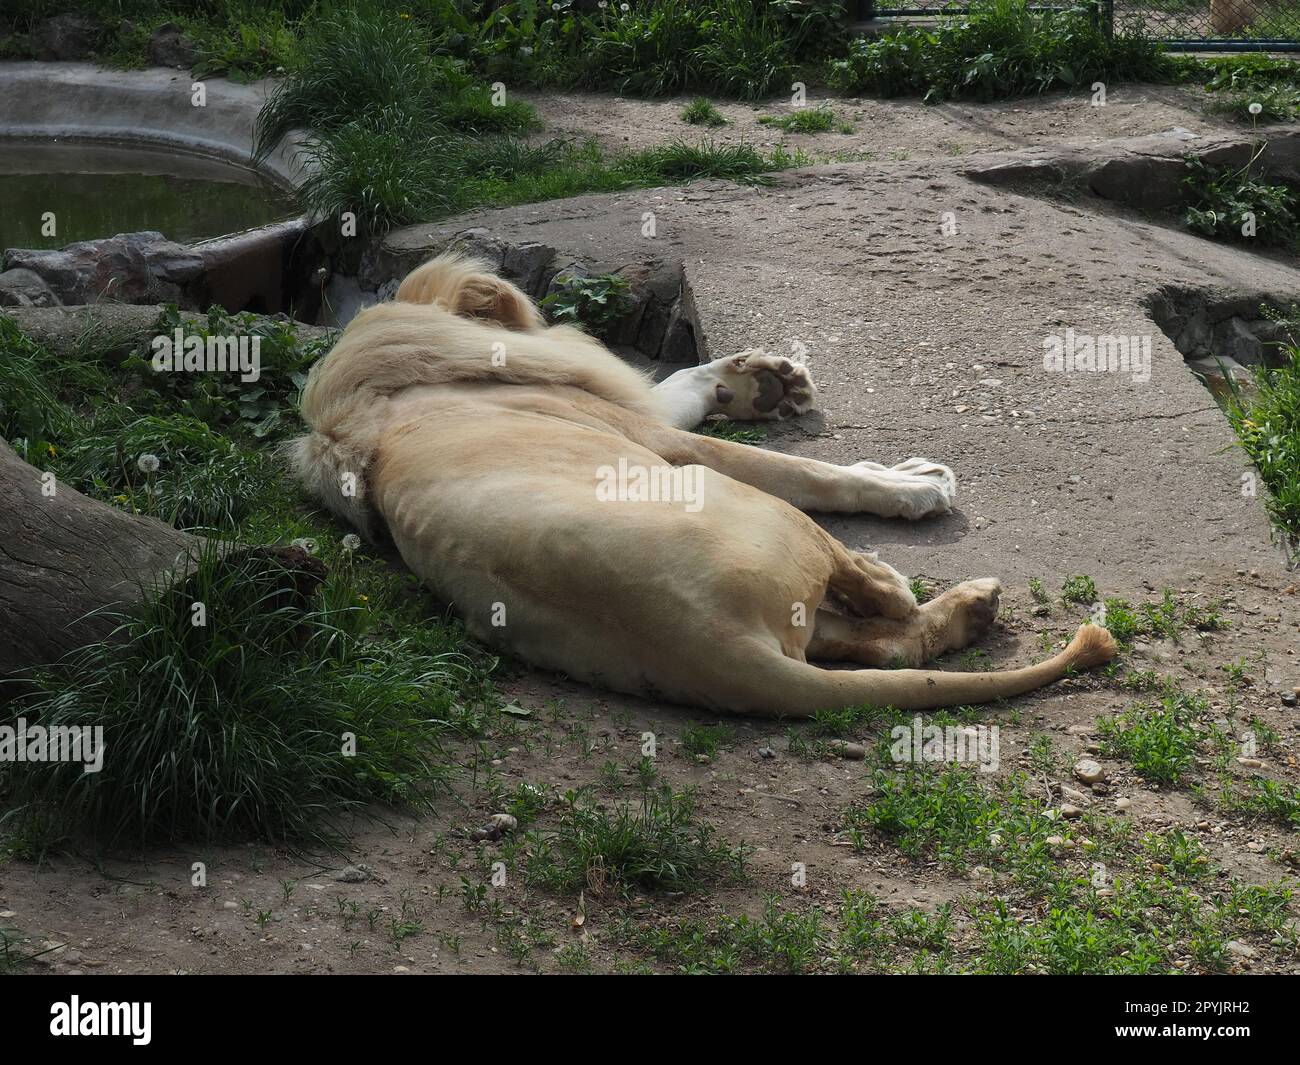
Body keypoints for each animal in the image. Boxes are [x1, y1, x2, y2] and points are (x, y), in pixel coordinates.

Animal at [290, 254, 1116, 716]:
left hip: (788, 617)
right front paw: (912, 484)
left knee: (889, 648)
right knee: (877, 598)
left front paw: (762, 383)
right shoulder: (653, 436)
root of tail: (714, 648)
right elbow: (804, 467)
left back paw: (973, 607)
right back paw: (907, 569)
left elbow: (679, 382)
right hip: (758, 511)